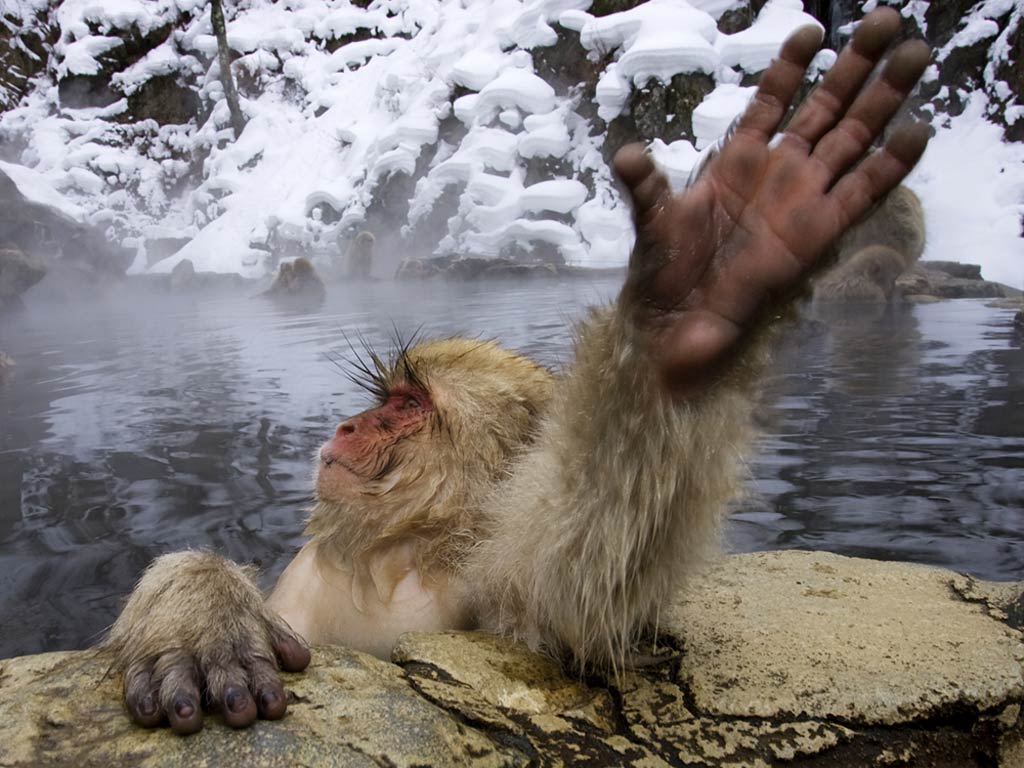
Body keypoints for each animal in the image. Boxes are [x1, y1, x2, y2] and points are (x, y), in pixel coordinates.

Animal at [103, 9, 931, 735]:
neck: (398, 553)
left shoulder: (496, 592)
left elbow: (579, 576)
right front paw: (198, 619)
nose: (347, 425)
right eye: (384, 399)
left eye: (407, 406)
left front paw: (694, 320)